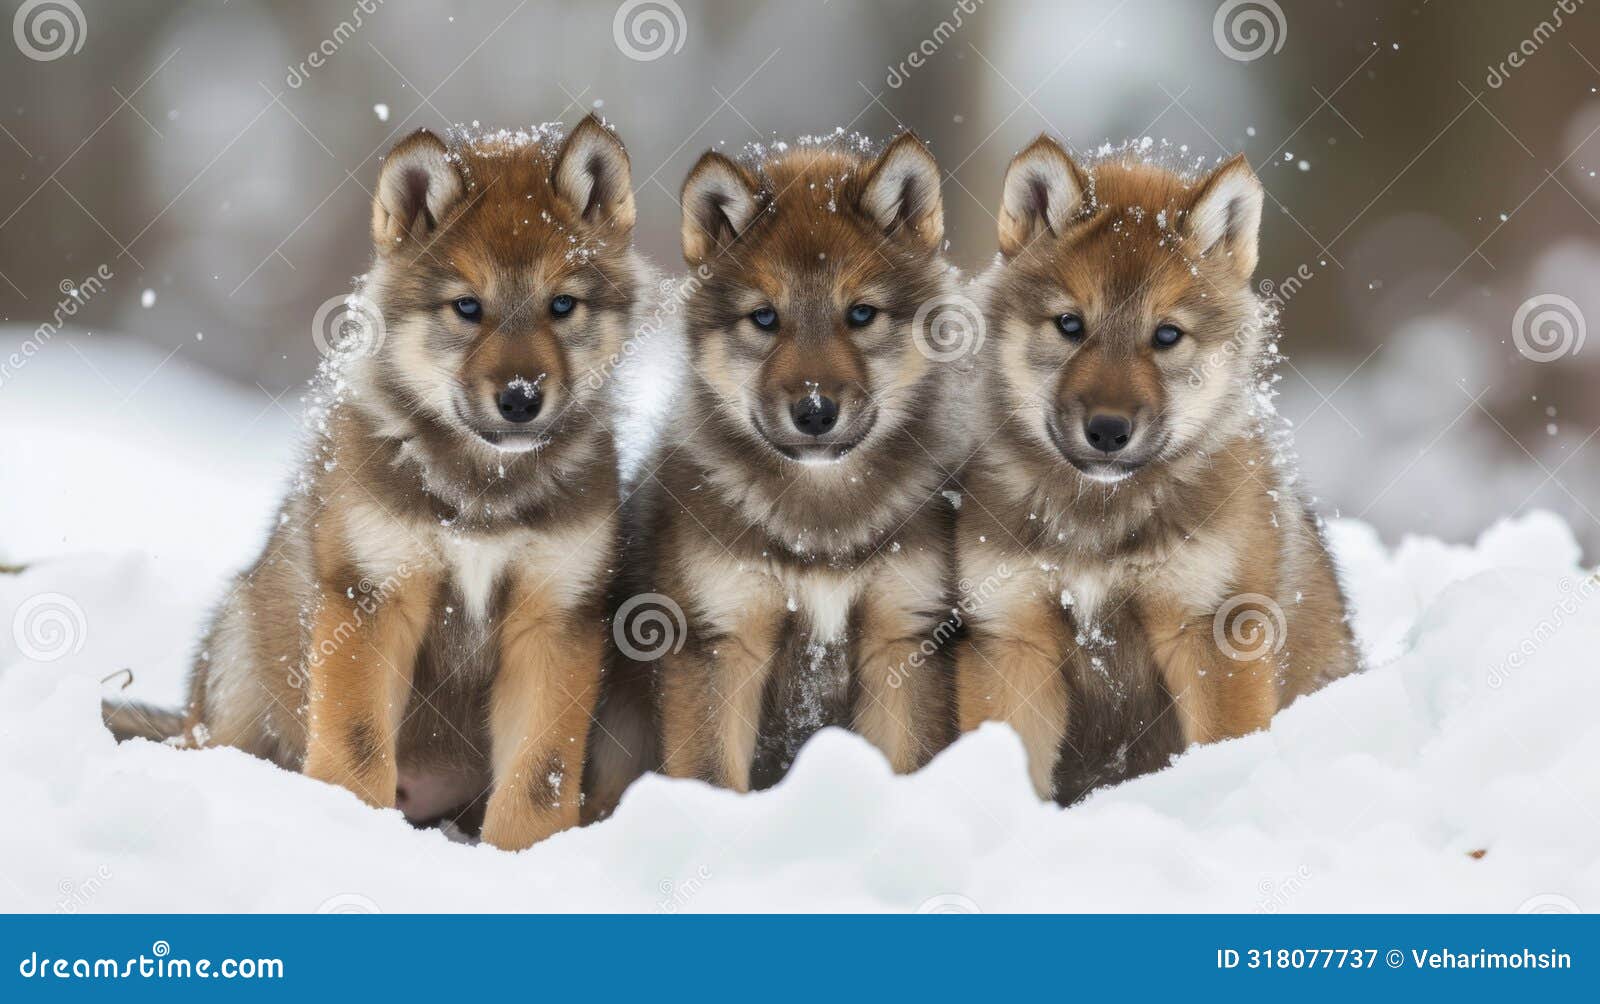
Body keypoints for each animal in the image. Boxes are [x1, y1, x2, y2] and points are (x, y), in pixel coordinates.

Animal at [103, 115, 649, 849]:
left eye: (563, 305)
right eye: (466, 307)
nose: (521, 399)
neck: (482, 494)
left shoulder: (556, 613)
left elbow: (539, 778)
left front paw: (523, 856)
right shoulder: (372, 596)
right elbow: (357, 747)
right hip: (241, 651)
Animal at [956, 136, 1359, 803]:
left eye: (1167, 335)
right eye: (1070, 324)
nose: (1108, 431)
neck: (1098, 523)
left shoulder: (1212, 629)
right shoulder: (1013, 638)